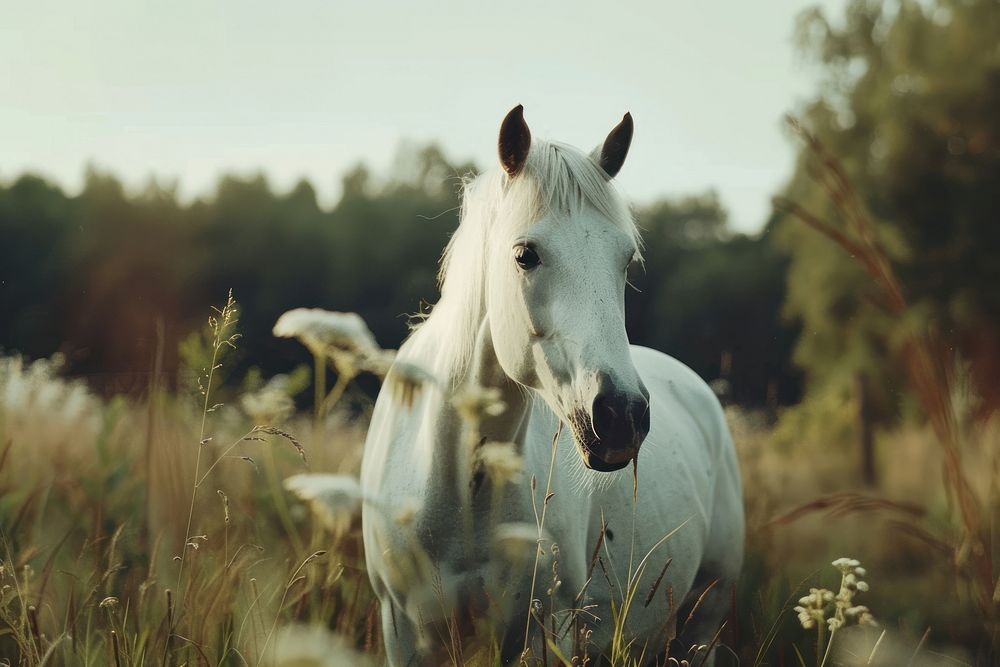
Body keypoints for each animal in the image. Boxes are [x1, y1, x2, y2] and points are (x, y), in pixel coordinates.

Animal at [360, 105, 744, 666]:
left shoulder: (548, 628)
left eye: (626, 260)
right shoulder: (405, 632)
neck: (458, 487)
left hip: (704, 623)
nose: (622, 415)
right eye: (525, 255)